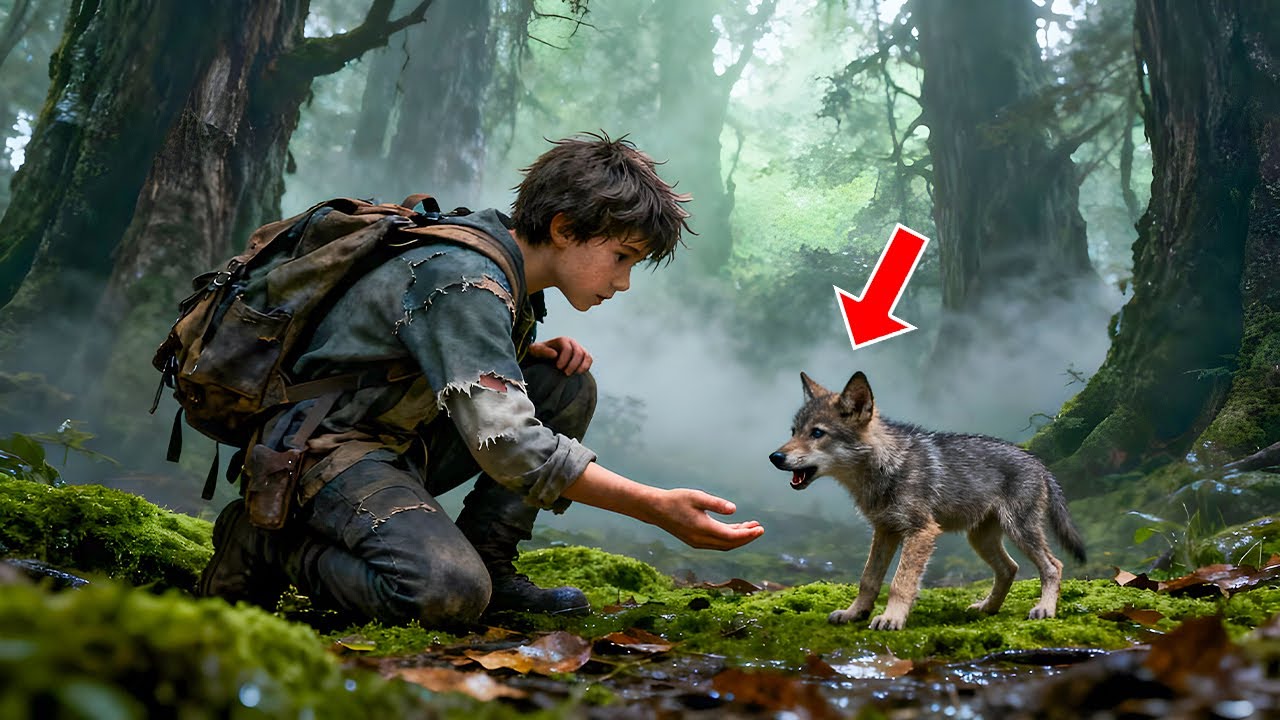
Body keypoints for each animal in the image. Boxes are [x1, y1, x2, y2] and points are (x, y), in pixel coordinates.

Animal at [768, 371, 1086, 630]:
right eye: (793, 432)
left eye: (817, 433)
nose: (775, 457)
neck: (885, 467)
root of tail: (1039, 462)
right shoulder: (885, 531)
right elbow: (868, 579)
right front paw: (854, 613)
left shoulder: (921, 531)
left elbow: (900, 583)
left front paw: (891, 619)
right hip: (980, 539)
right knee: (1011, 569)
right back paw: (987, 608)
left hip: (1019, 532)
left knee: (1053, 566)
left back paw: (1044, 610)